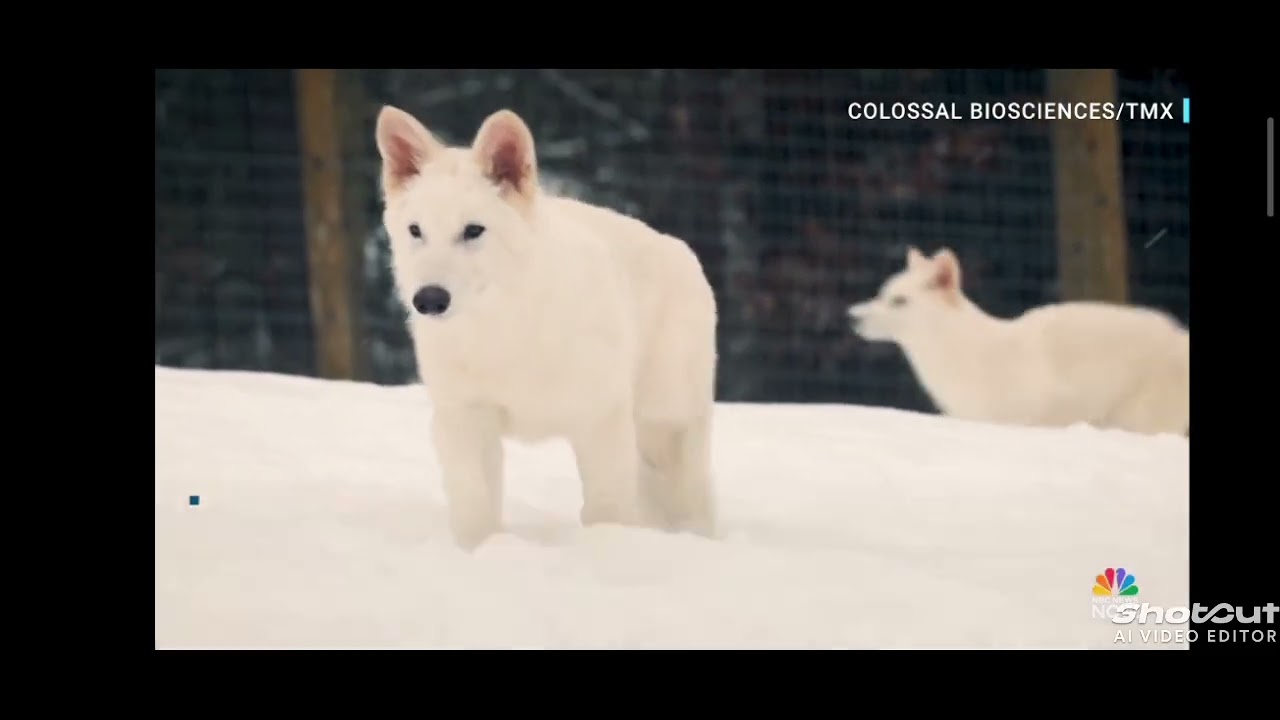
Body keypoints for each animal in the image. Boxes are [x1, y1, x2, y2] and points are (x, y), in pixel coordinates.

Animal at [373, 105, 719, 550]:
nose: (429, 300)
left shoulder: (600, 420)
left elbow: (605, 509)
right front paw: (481, 552)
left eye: (473, 230)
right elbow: (475, 509)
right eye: (416, 231)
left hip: (667, 426)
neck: (505, 327)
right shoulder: (464, 420)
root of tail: (680, 250)